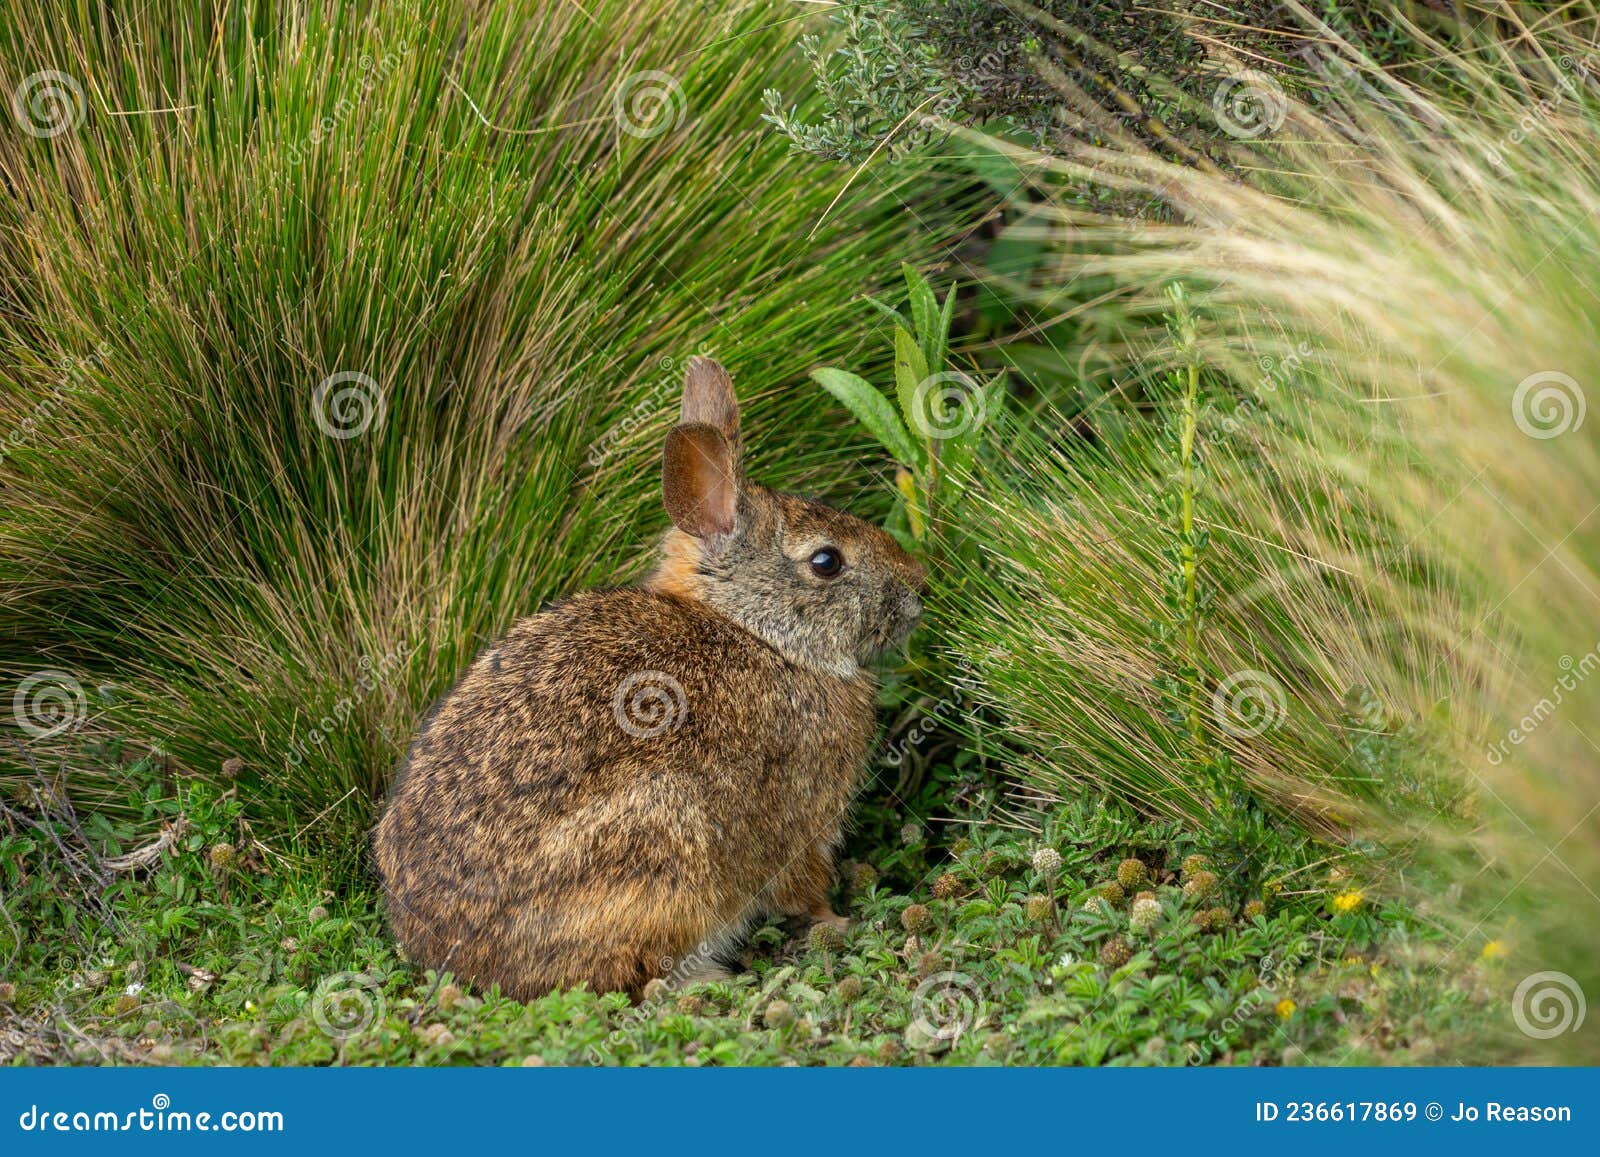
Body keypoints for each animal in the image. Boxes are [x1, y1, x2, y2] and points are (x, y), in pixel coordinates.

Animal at [373, 356, 925, 1000]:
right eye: (826, 562)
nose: (919, 586)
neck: (757, 632)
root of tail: (458, 957)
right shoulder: (802, 818)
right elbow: (803, 886)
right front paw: (838, 921)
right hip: (662, 845)